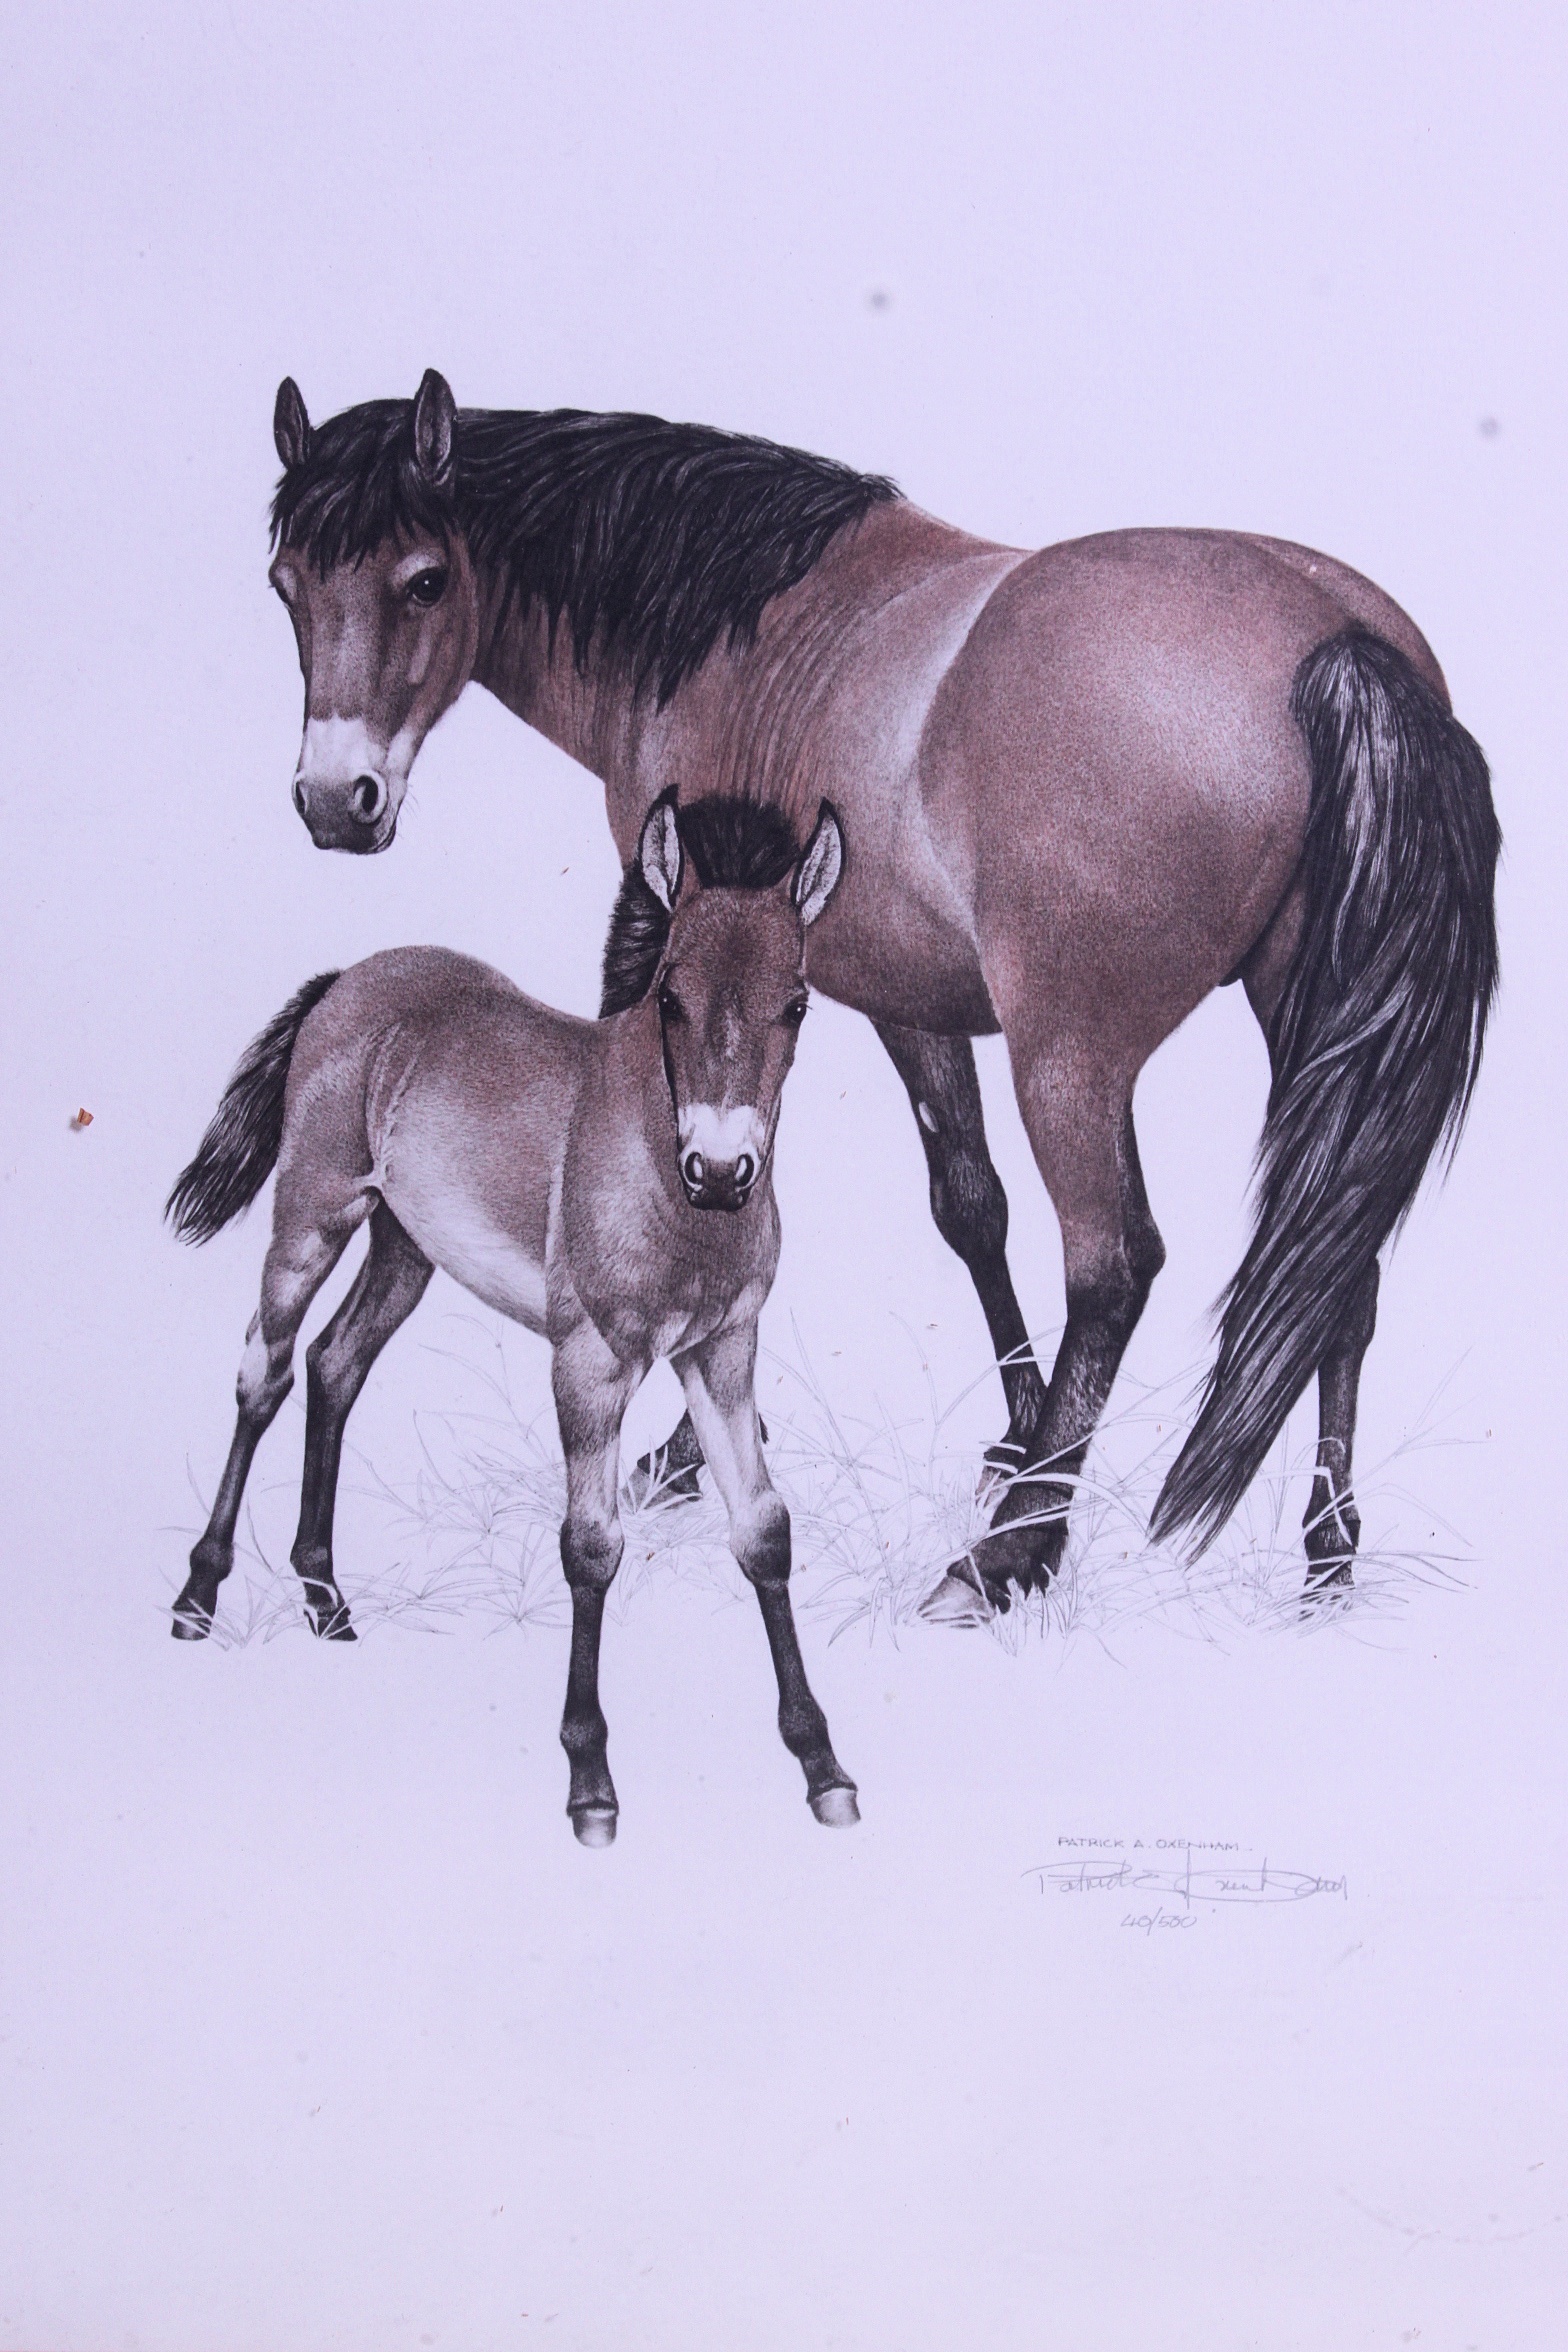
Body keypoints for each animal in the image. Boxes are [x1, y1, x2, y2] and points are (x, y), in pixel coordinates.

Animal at [166, 791, 859, 1845]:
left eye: (797, 1004)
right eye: (670, 998)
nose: (720, 1172)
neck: (664, 1179)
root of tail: (350, 978)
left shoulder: (722, 1351)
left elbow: (763, 1529)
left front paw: (823, 1766)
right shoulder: (591, 1362)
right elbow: (592, 1545)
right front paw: (590, 1781)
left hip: (406, 1249)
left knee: (335, 1366)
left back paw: (325, 1599)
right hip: (312, 1218)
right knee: (266, 1373)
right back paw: (199, 1593)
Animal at [264, 370, 1500, 1622]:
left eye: (422, 579)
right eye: (286, 585)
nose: (333, 800)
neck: (733, 620)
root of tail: (1334, 636)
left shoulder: (671, 932)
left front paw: (693, 1453)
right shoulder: (908, 1000)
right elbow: (967, 1206)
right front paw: (1007, 1434)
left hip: (1070, 1056)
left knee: (1116, 1267)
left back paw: (1011, 1552)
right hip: (1310, 1021)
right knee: (1331, 1260)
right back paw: (1324, 1553)